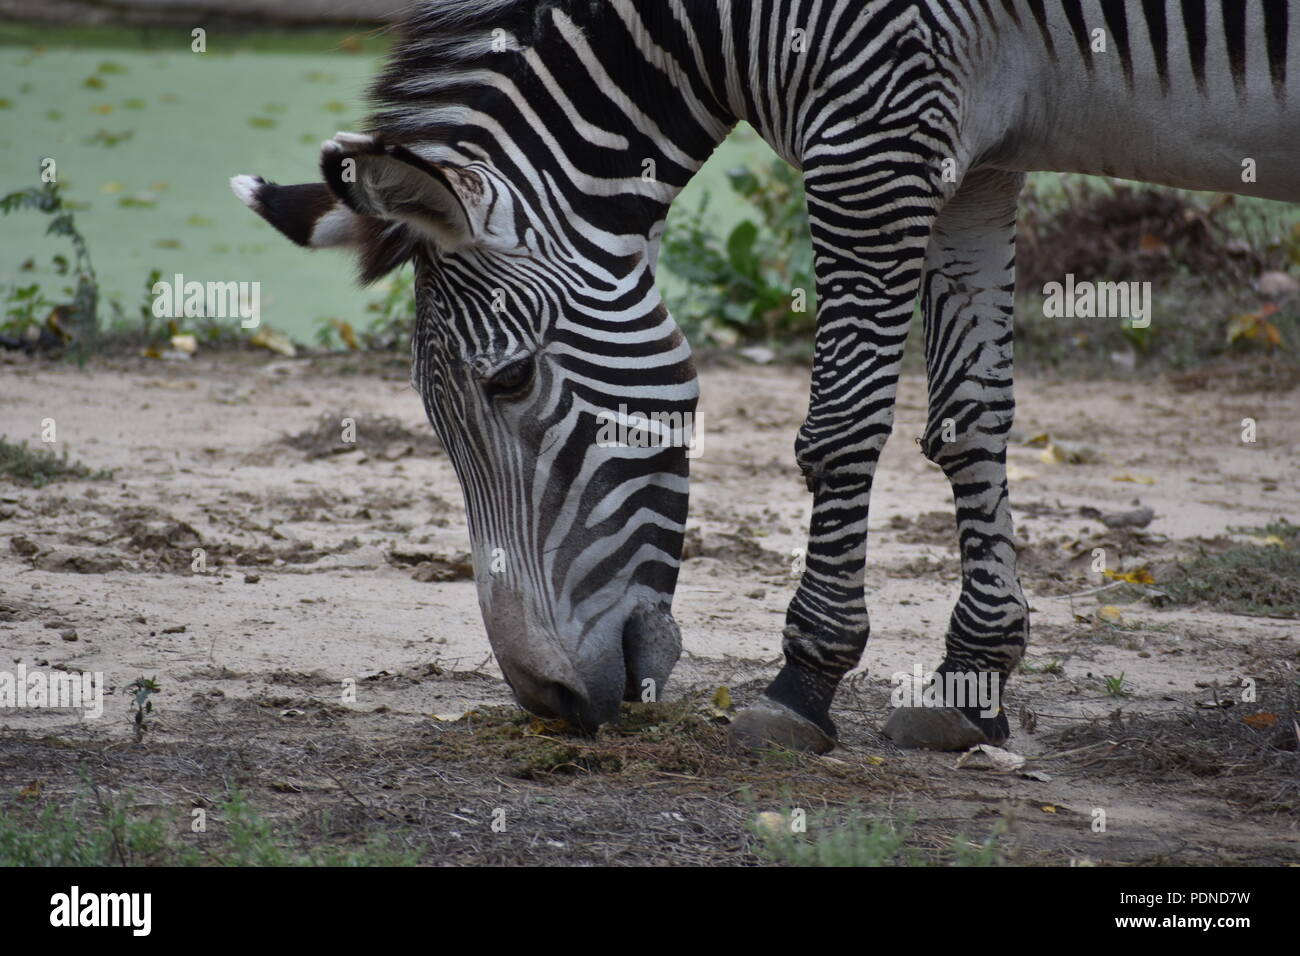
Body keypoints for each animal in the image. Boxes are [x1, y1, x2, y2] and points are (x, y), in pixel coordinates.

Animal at [233, 0, 1299, 753]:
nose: (551, 701)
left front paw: (805, 685)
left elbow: (844, 425)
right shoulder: (973, 156)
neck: (716, 19)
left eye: (508, 382)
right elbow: (969, 417)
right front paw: (973, 681)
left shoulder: (875, 139)